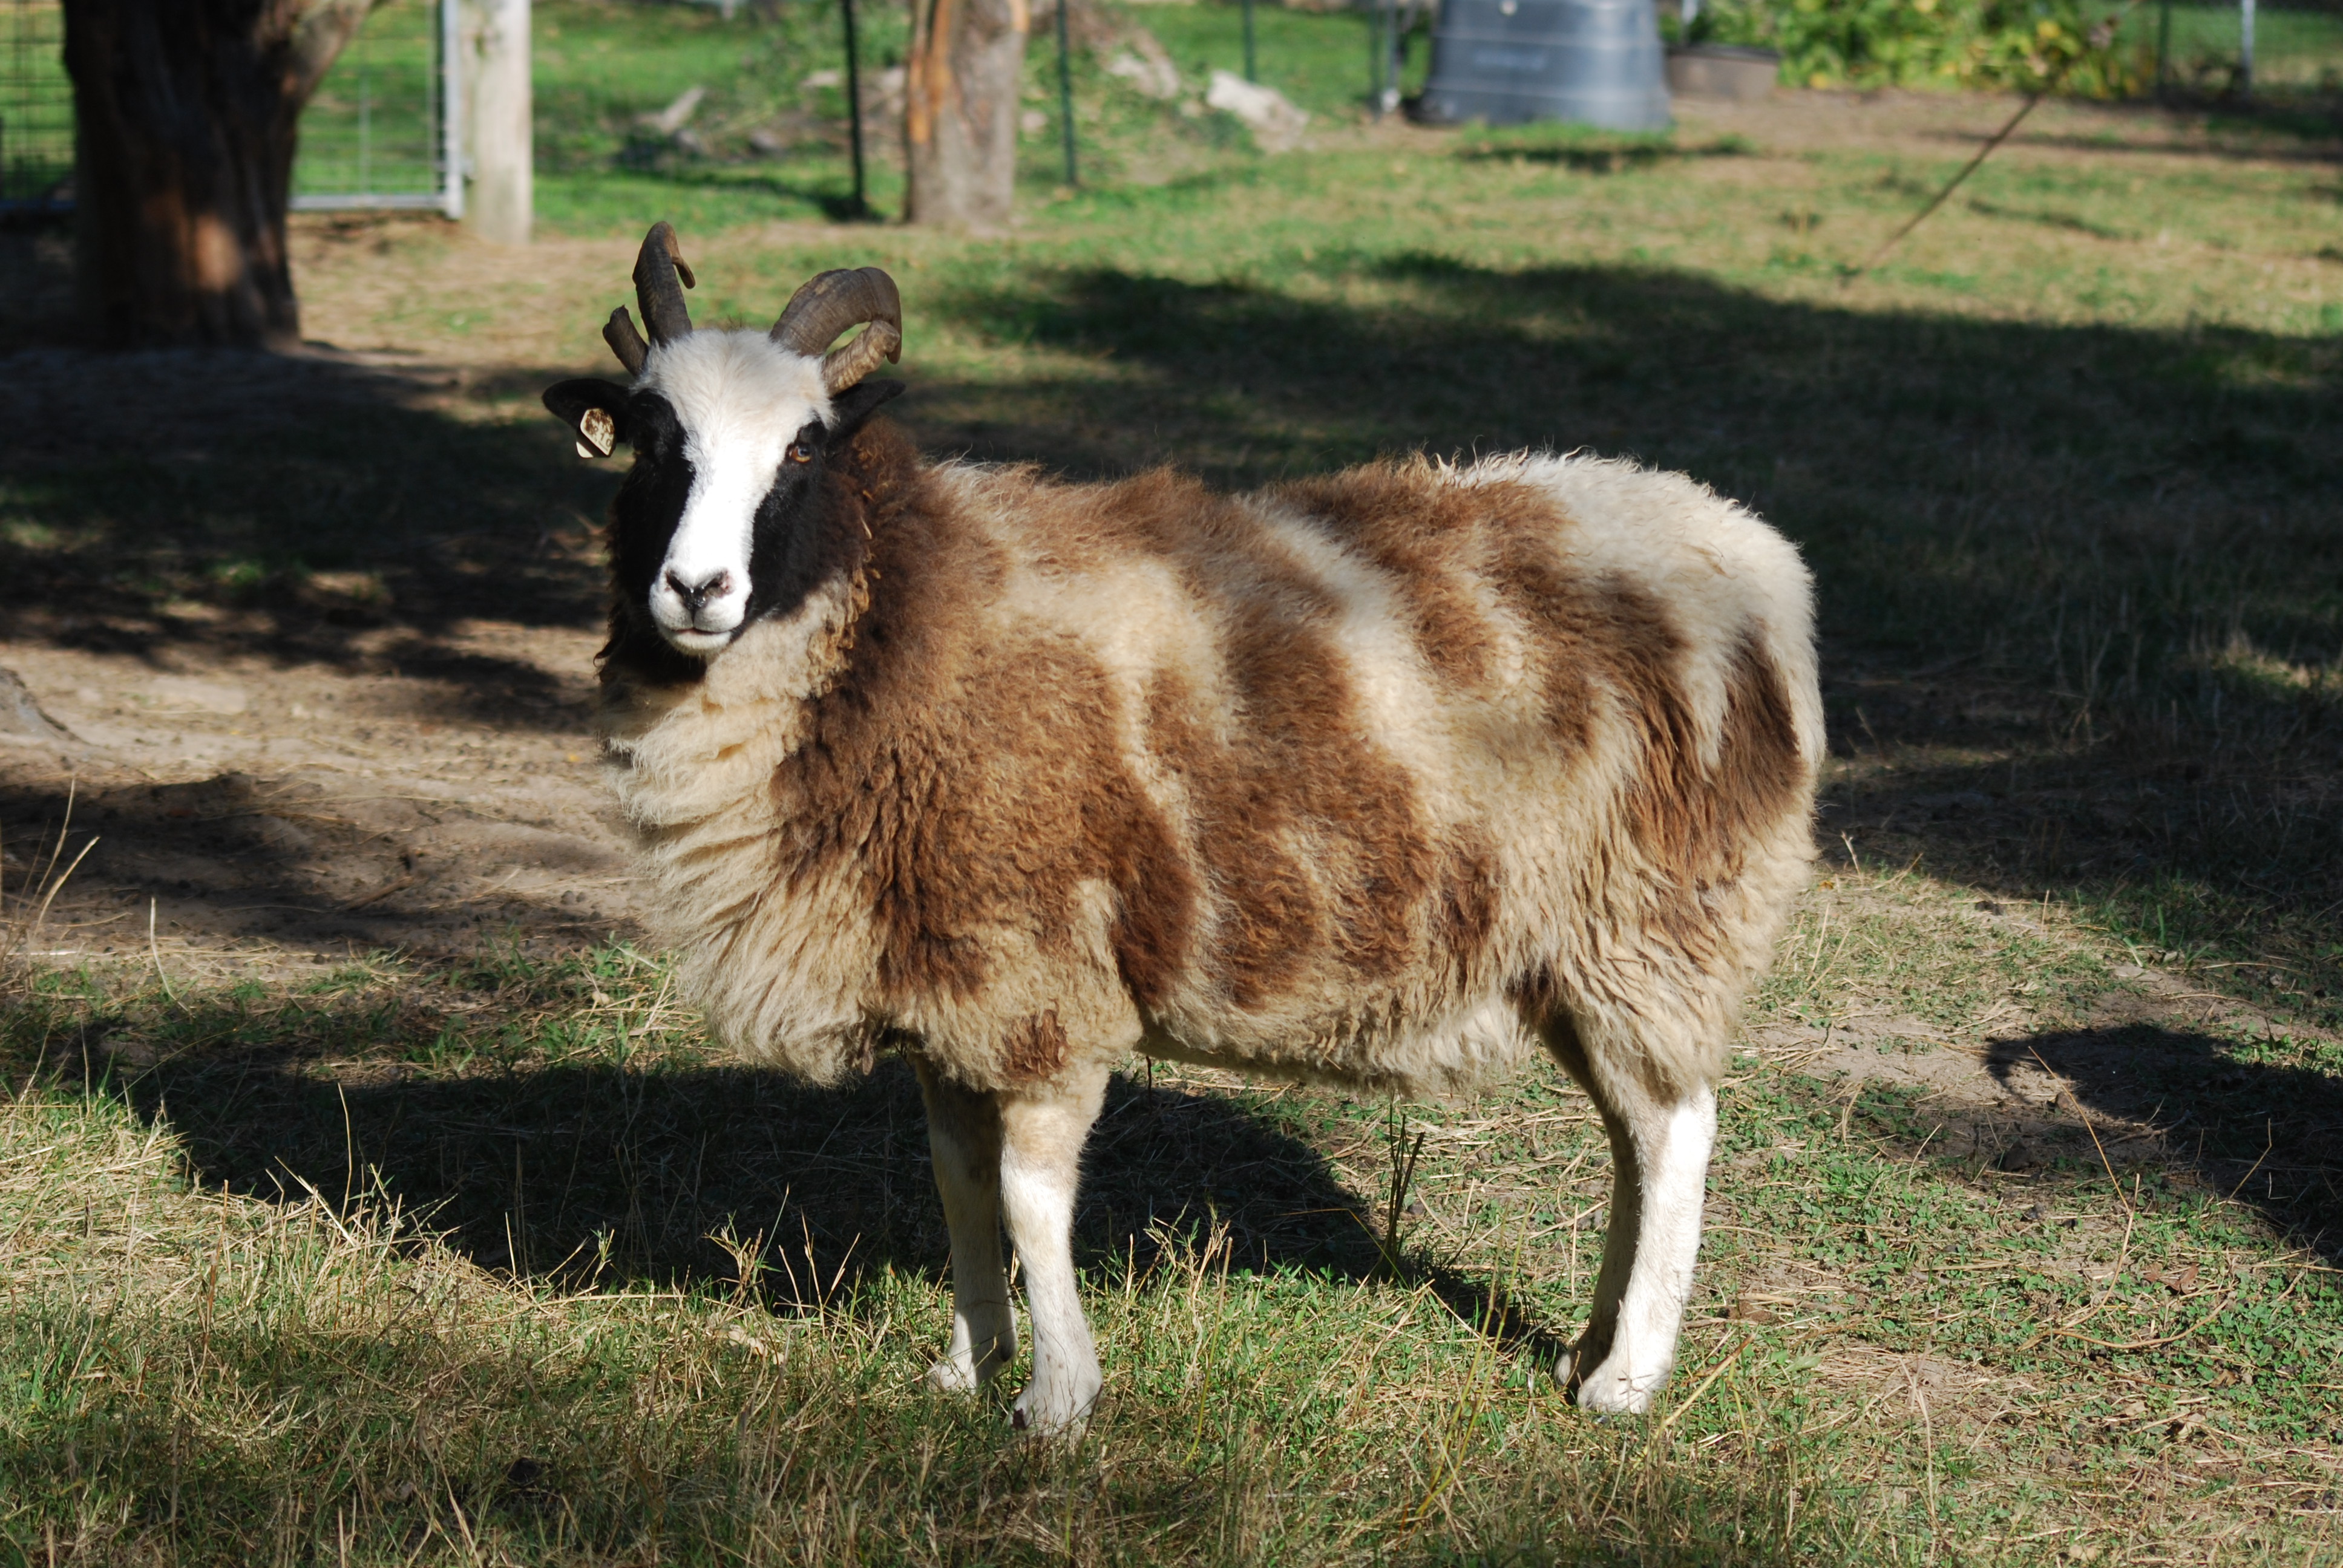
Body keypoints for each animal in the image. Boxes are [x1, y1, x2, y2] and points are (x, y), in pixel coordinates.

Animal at [543, 224, 1823, 1435]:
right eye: (653, 441)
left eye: (803, 448)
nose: (696, 590)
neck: (901, 617)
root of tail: (1762, 563)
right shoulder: (944, 973)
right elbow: (958, 1181)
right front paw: (967, 1364)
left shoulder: (1042, 971)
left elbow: (1030, 1191)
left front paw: (1058, 1396)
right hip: (1580, 947)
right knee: (1629, 1135)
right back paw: (1586, 1350)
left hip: (1656, 921)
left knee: (1675, 1130)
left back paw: (1627, 1382)